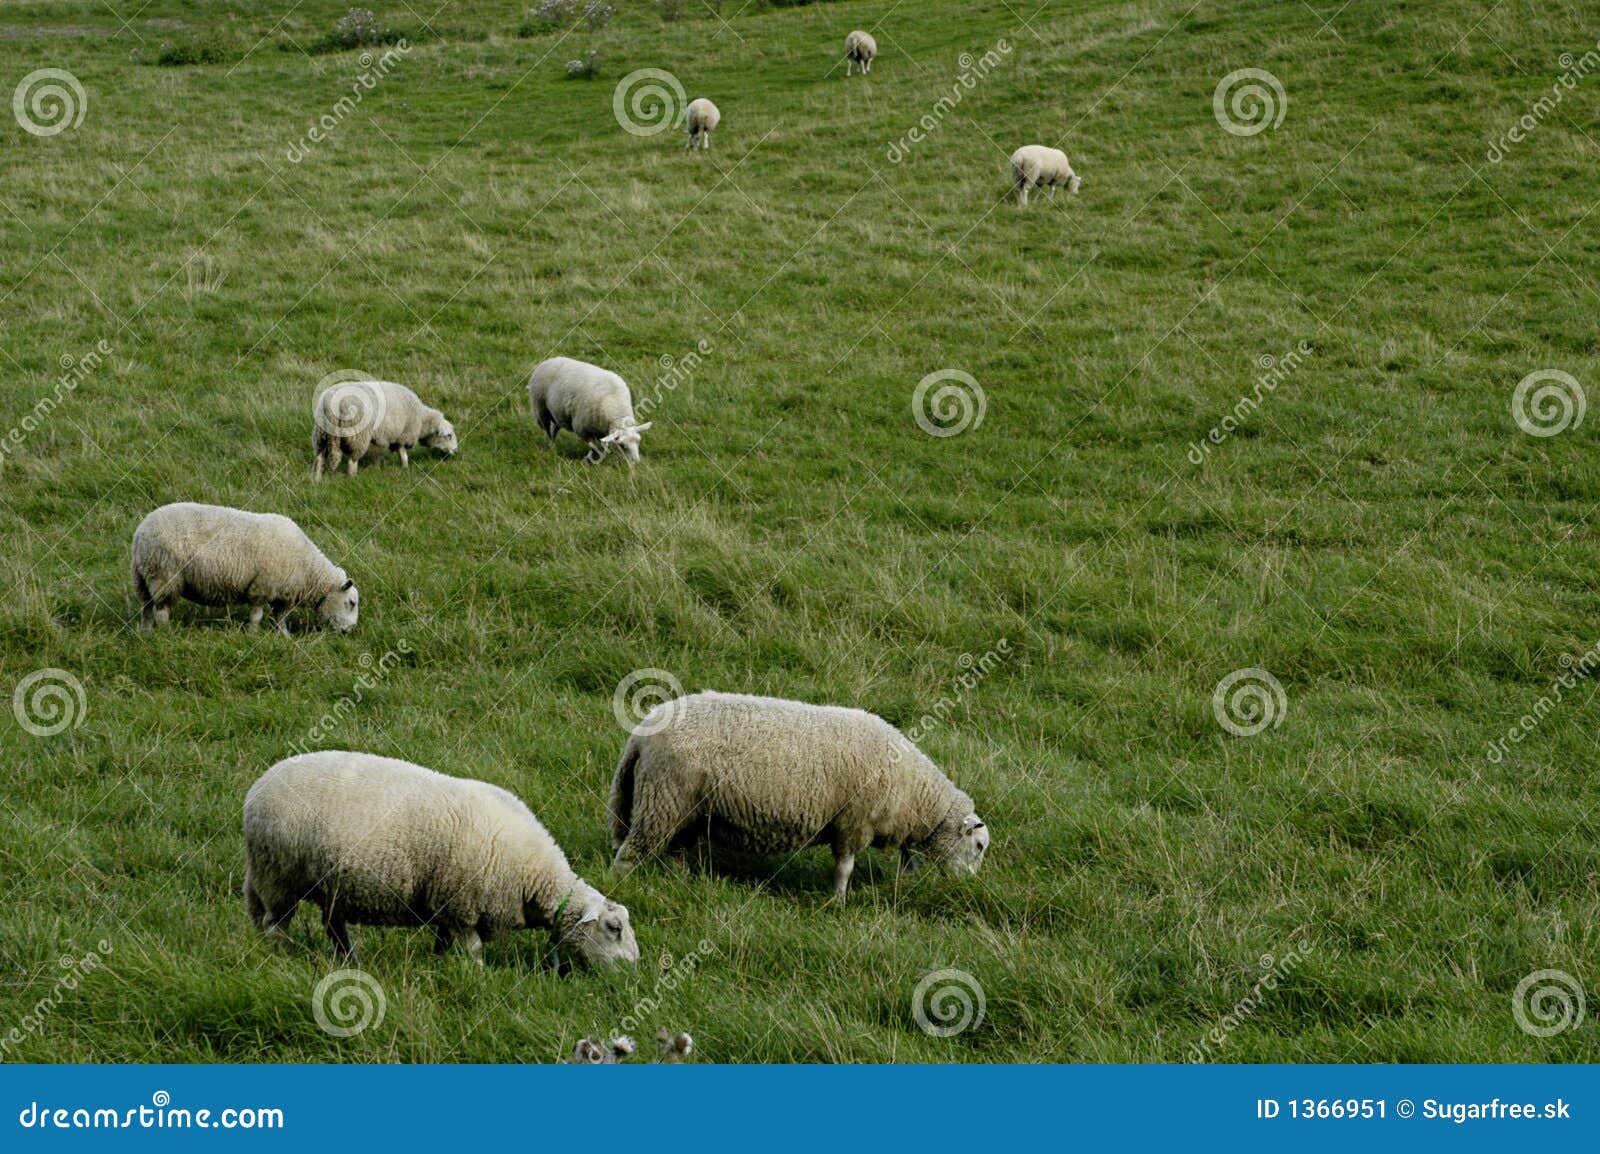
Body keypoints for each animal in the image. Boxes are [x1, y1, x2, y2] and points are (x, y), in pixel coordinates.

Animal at [131, 502, 358, 635]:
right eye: (351, 603)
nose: (348, 631)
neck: (308, 568)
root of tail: (141, 533)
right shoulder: (262, 587)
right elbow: (257, 615)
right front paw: (253, 635)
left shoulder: (282, 594)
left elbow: (280, 619)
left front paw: (284, 637)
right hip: (165, 575)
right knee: (160, 612)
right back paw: (168, 634)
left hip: (143, 578)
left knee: (146, 609)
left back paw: (146, 633)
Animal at [243, 751, 640, 968]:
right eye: (614, 929)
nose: (633, 970)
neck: (535, 877)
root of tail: (256, 790)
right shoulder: (462, 905)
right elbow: (473, 948)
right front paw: (478, 976)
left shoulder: (447, 907)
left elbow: (443, 943)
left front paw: (439, 965)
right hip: (279, 876)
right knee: (276, 926)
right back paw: (283, 956)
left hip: (321, 883)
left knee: (328, 925)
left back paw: (349, 960)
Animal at [312, 379, 457, 480]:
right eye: (448, 435)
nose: (456, 450)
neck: (422, 420)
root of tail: (330, 404)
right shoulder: (403, 434)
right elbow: (403, 454)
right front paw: (405, 467)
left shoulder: (386, 438)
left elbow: (381, 455)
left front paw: (380, 469)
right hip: (358, 436)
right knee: (352, 461)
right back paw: (353, 478)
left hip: (321, 435)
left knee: (320, 458)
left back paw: (317, 480)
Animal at [609, 691, 990, 901]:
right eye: (979, 846)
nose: (969, 887)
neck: (915, 792)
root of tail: (640, 735)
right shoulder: (851, 823)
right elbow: (845, 867)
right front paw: (838, 901)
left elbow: (907, 862)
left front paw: (901, 884)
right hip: (663, 799)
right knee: (630, 852)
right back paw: (624, 886)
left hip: (687, 810)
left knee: (673, 850)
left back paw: (680, 881)